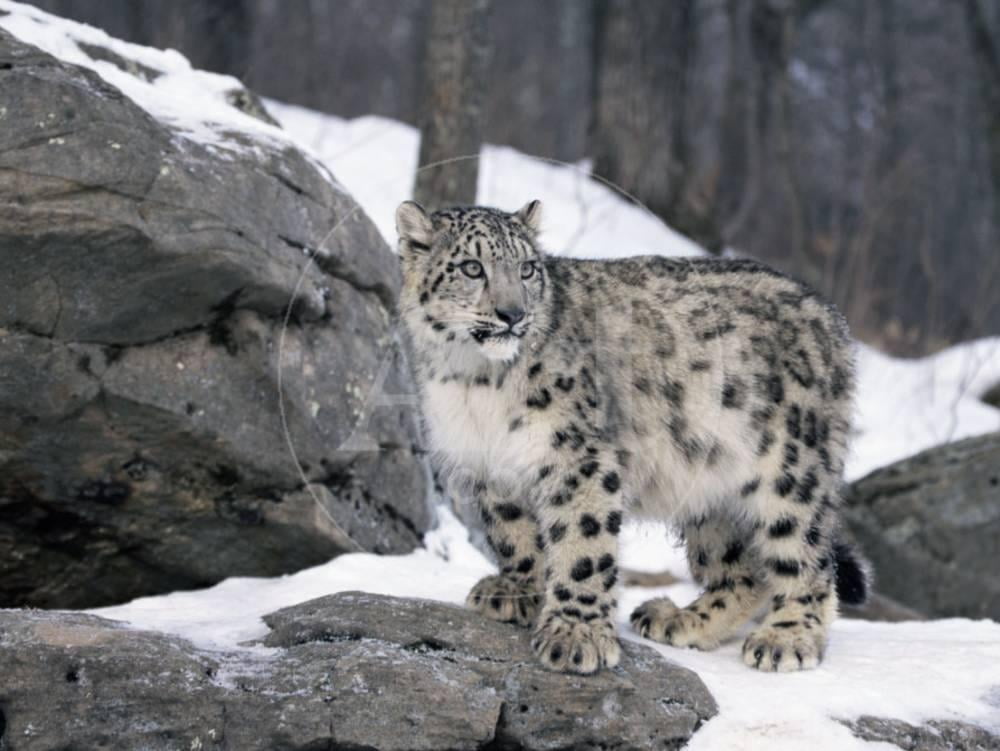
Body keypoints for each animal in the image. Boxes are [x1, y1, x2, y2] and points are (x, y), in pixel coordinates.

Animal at [395, 198, 869, 675]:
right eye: (472, 268)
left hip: (790, 470)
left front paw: (576, 635)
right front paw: (517, 591)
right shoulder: (490, 463)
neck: (472, 379)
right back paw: (681, 620)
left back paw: (785, 638)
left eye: (527, 269)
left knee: (807, 558)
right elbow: (513, 534)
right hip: (710, 490)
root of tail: (833, 319)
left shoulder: (577, 456)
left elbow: (583, 545)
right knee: (742, 570)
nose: (513, 315)